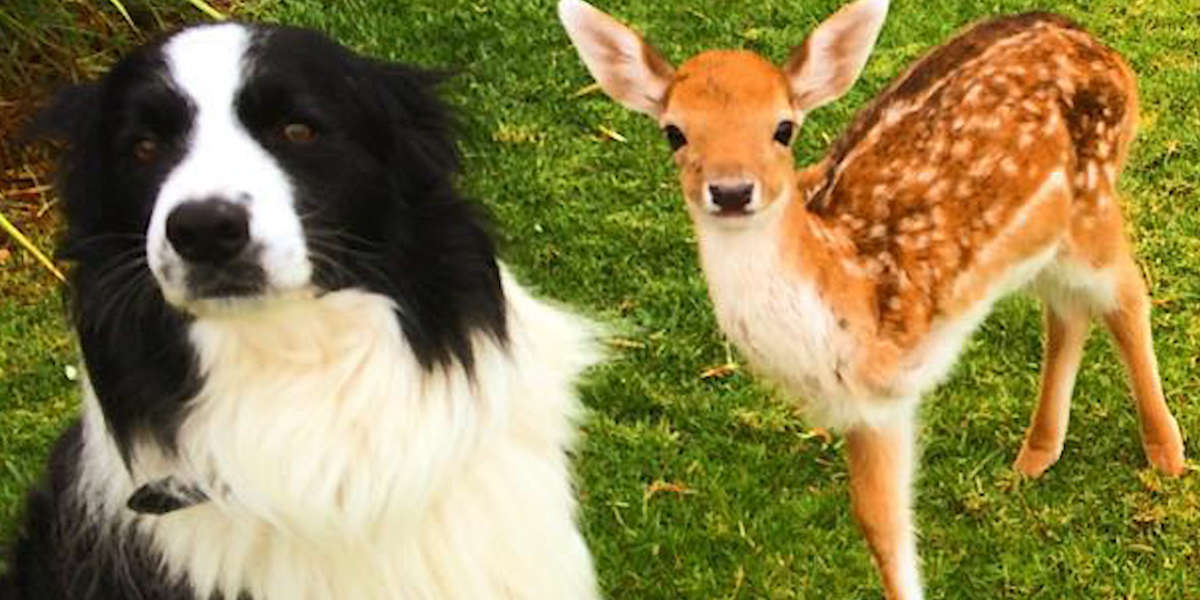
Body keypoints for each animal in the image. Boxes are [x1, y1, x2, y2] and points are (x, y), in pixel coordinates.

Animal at [558, 0, 1187, 597]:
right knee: (1067, 310)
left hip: (1094, 200)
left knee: (1128, 293)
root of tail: (1103, 49)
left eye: (783, 128)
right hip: (1040, 242)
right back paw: (1036, 454)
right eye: (675, 131)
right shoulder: (856, 405)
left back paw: (1167, 452)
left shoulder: (885, 390)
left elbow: (885, 528)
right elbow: (872, 524)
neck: (839, 291)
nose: (732, 190)